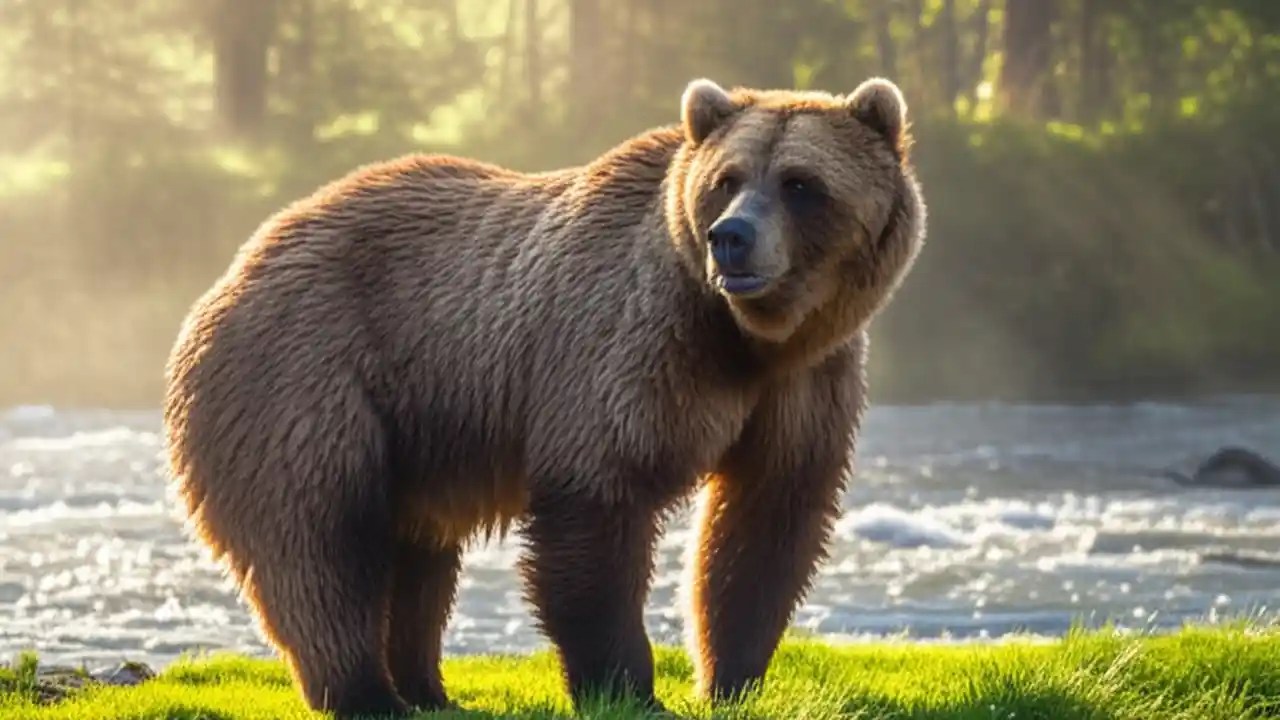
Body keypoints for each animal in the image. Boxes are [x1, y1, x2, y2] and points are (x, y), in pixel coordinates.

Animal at [162, 76, 926, 717]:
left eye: (800, 182)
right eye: (727, 179)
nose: (731, 238)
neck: (747, 338)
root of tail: (237, 265)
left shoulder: (806, 383)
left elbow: (765, 523)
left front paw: (731, 681)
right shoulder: (627, 348)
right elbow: (598, 504)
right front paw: (626, 689)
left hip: (413, 429)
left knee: (414, 557)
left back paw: (428, 689)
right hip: (304, 376)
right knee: (323, 536)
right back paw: (365, 694)